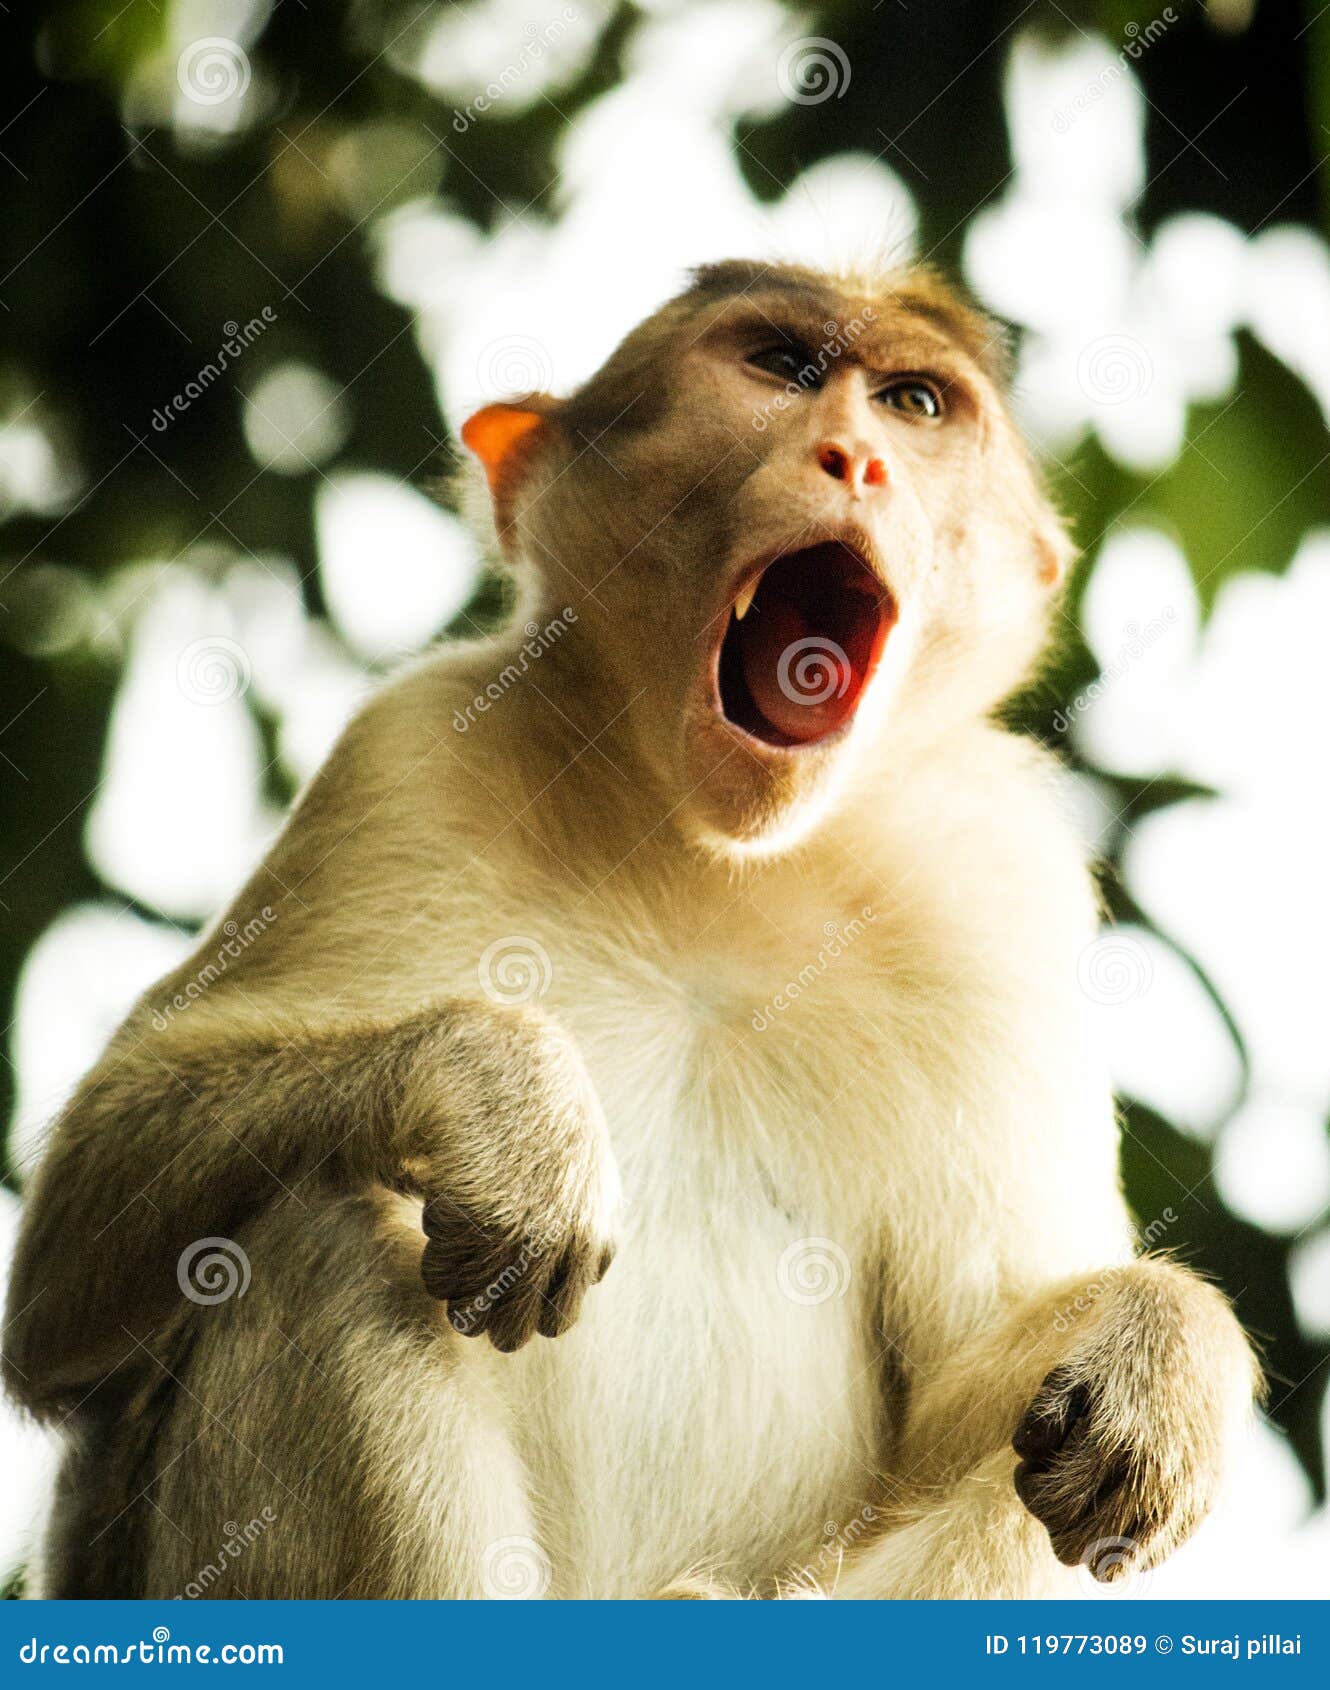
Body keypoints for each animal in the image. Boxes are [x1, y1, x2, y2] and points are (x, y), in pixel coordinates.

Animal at [3, 259, 1257, 1600]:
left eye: (915, 403)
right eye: (783, 368)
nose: (857, 458)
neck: (707, 866)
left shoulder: (999, 879)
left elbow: (973, 1385)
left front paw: (1162, 1347)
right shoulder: (406, 750)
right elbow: (70, 1255)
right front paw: (498, 1100)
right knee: (321, 1224)